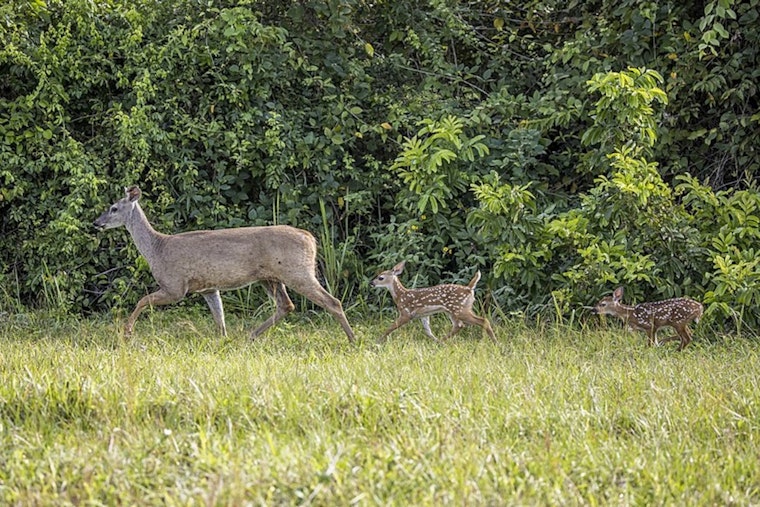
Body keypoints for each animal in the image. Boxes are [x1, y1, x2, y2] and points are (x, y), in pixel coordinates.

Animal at [93, 186, 355, 343]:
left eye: (113, 208)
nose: (97, 222)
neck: (157, 248)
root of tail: (310, 238)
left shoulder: (175, 286)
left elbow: (142, 300)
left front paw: (126, 332)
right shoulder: (208, 288)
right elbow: (220, 319)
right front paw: (223, 341)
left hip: (296, 272)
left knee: (332, 302)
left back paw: (352, 339)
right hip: (270, 277)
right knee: (286, 305)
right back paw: (250, 336)